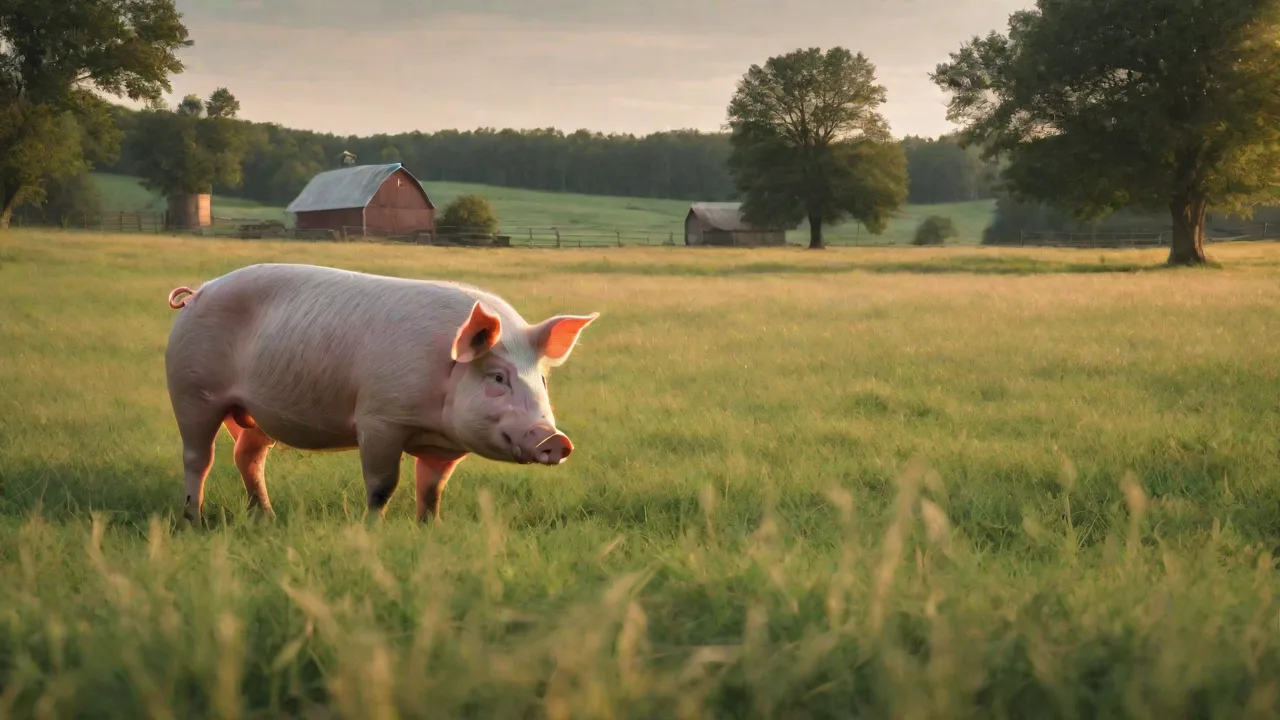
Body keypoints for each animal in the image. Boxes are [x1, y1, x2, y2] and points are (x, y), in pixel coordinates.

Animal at [163, 262, 599, 525]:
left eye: (541, 380)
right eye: (497, 377)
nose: (554, 439)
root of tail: (198, 292)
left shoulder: (445, 447)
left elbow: (433, 488)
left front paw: (431, 527)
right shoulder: (379, 419)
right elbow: (382, 484)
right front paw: (373, 528)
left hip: (251, 414)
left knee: (247, 458)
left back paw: (267, 518)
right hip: (192, 390)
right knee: (198, 458)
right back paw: (193, 520)